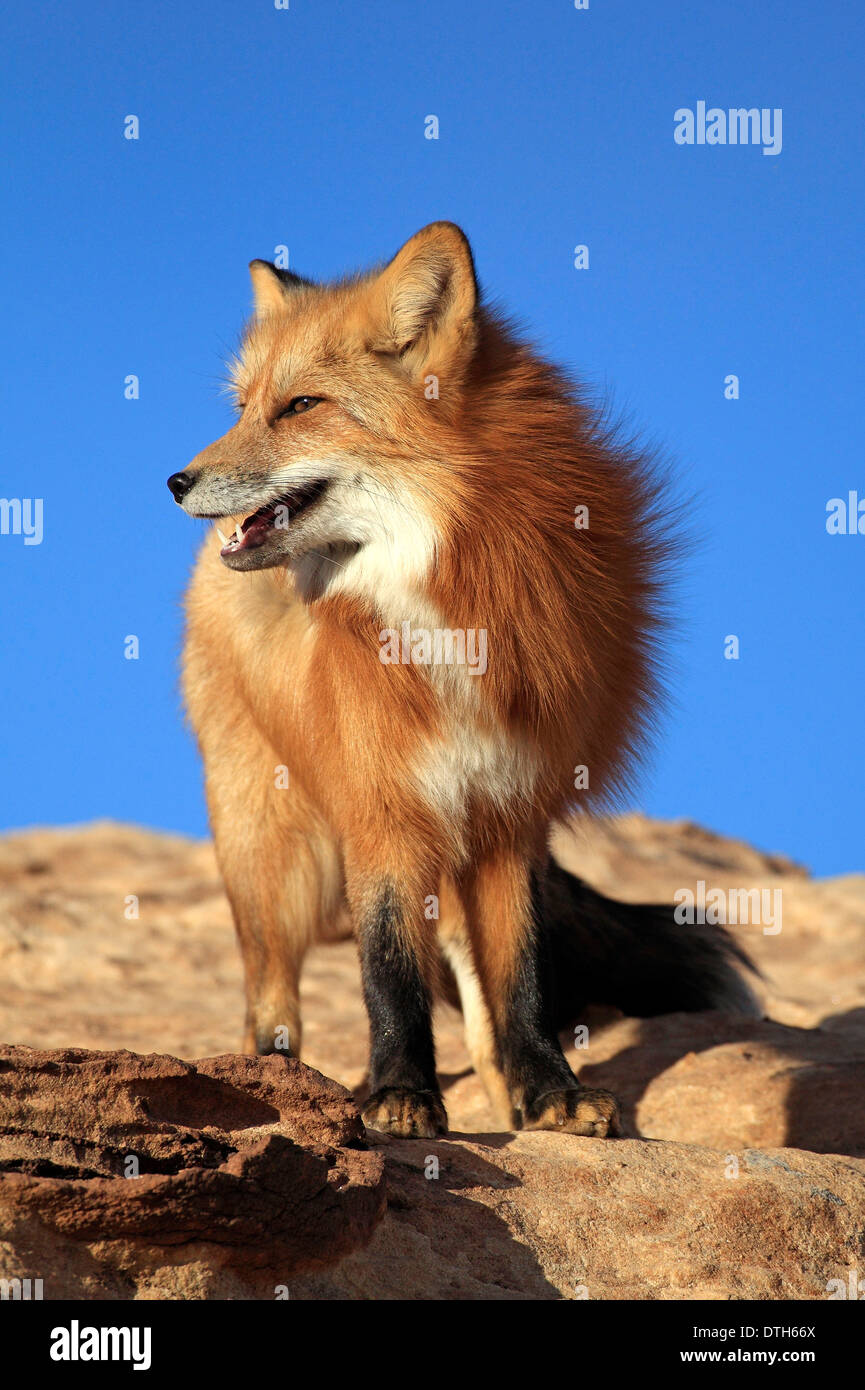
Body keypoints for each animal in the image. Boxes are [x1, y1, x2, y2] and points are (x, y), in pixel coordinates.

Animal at [171, 222, 757, 1140]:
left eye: (299, 407)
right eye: (242, 407)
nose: (176, 481)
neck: (450, 602)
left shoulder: (513, 810)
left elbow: (521, 980)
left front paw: (551, 1093)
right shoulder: (379, 804)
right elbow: (387, 971)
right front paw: (398, 1095)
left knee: (477, 1011)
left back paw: (507, 1101)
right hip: (265, 846)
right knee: (271, 1000)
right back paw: (279, 1085)